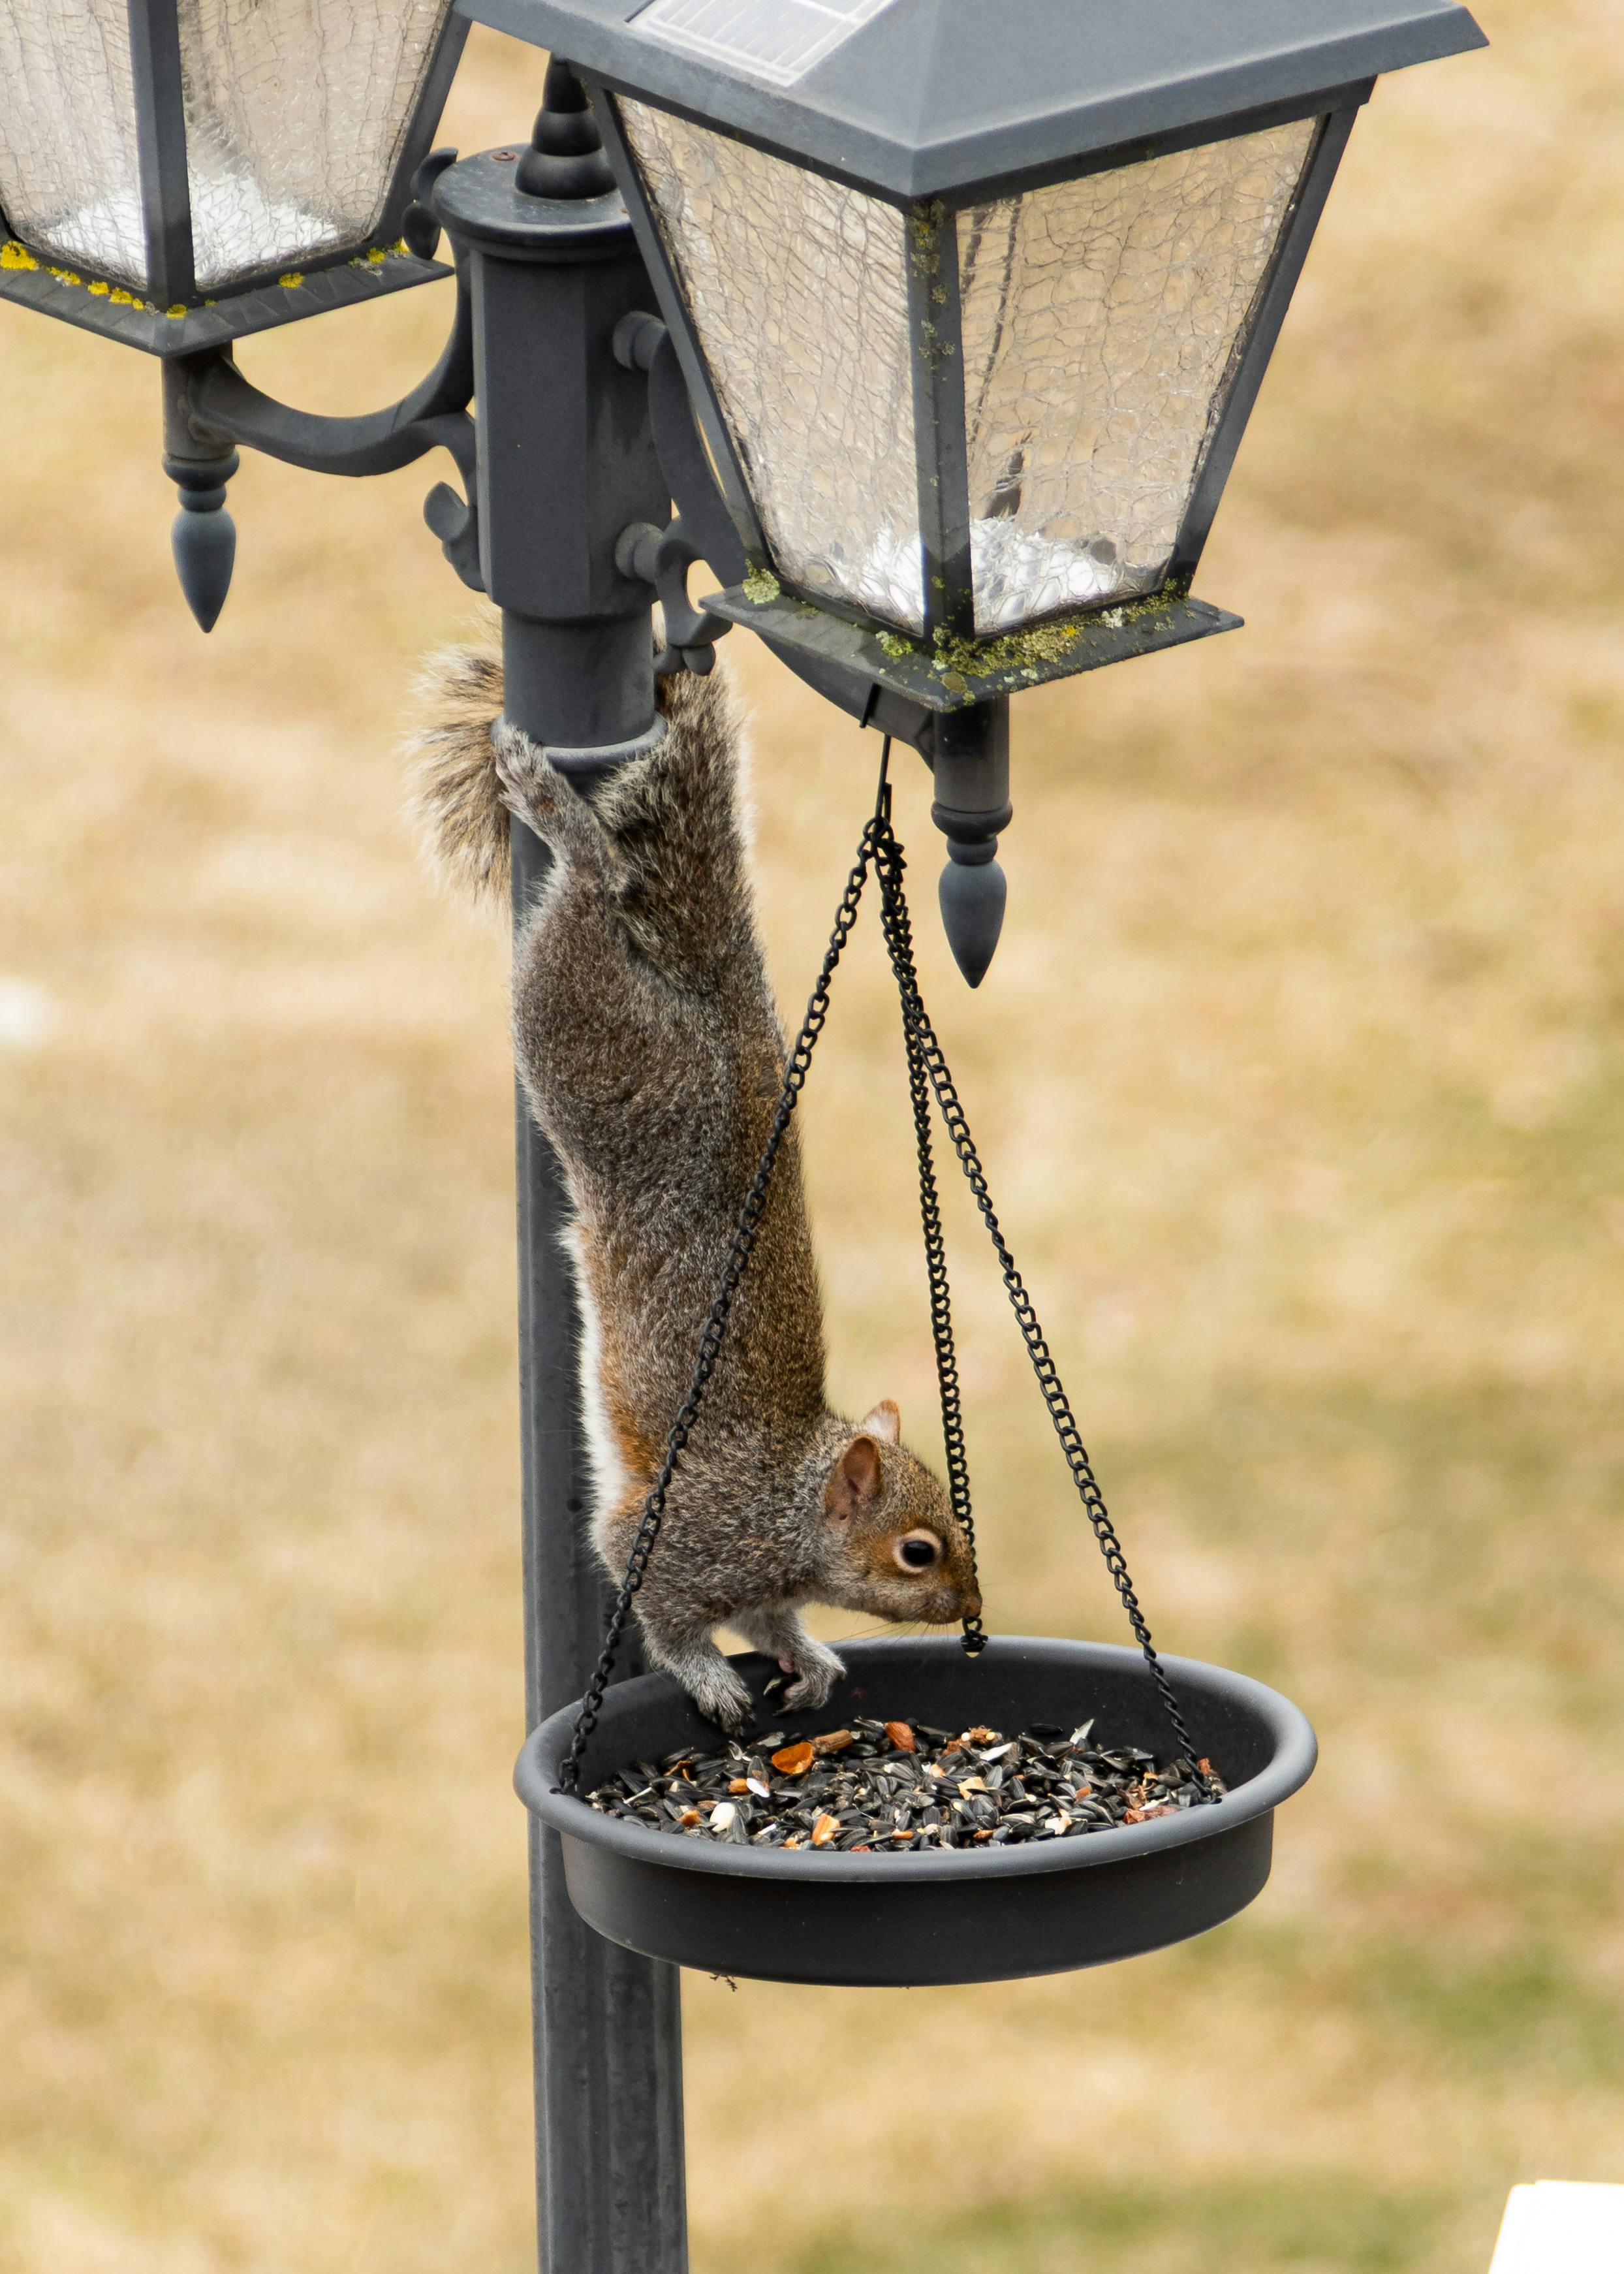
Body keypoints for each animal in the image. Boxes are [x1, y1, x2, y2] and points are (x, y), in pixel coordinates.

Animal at [407, 640, 981, 1734]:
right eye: (918, 1550)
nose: (976, 1607)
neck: (790, 1503)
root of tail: (718, 1006)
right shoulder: (680, 1536)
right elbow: (659, 1605)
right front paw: (711, 1674)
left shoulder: (756, 1576)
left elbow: (770, 1620)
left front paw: (808, 1657)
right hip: (582, 1031)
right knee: (590, 890)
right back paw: (555, 810)